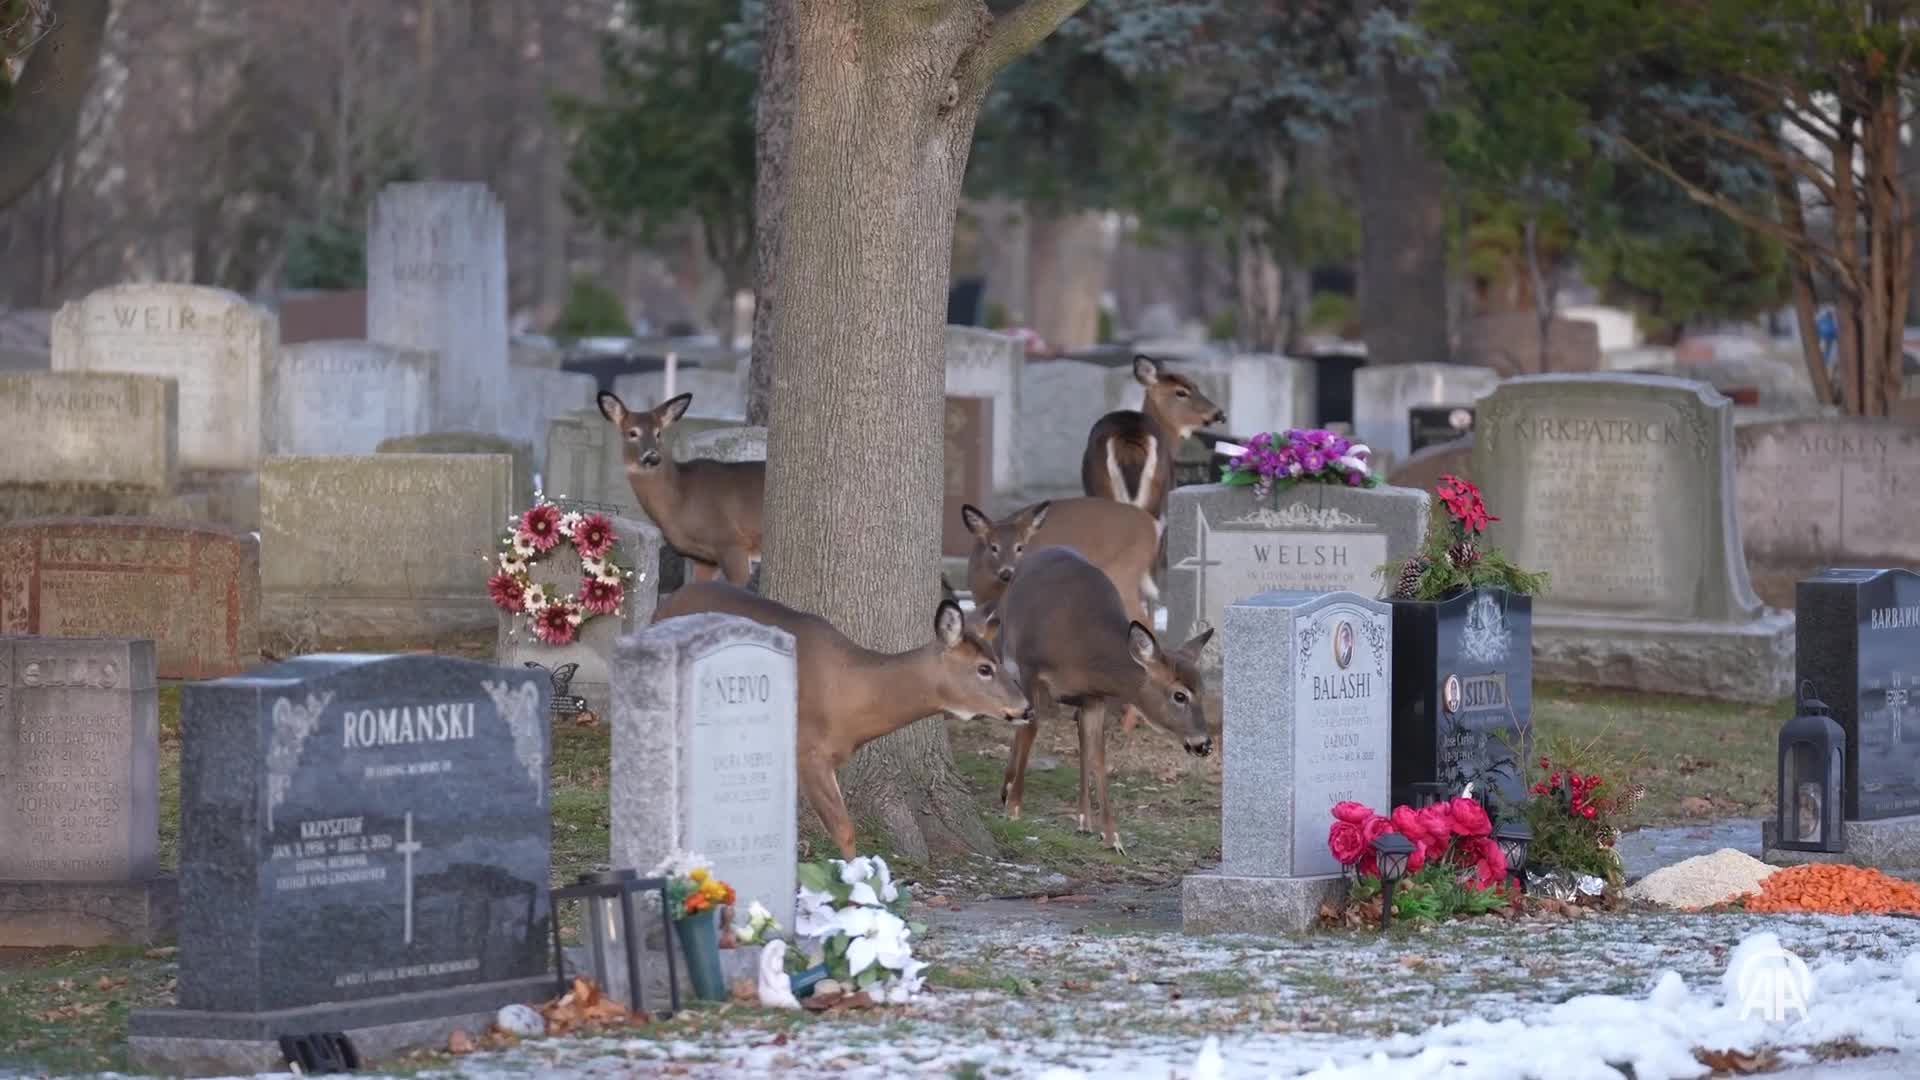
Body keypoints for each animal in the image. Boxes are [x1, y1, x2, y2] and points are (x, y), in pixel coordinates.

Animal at [596, 390, 763, 586]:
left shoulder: (731, 541)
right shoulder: (704, 558)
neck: (681, 499)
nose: (652, 456)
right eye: (632, 433)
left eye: (658, 433)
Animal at [652, 582, 1031, 859]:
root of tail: (661, 607)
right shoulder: (808, 751)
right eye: (984, 668)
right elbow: (844, 830)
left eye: (998, 660)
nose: (1026, 708)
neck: (852, 699)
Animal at [994, 545, 1213, 855]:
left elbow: (1098, 757)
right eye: (1179, 694)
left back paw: (1084, 820)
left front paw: (1112, 836)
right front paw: (1013, 807)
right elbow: (1030, 730)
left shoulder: (1095, 698)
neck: (1081, 649)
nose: (1204, 744)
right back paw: (1008, 789)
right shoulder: (1029, 669)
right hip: (1007, 654)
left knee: (1081, 741)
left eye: (1203, 690)